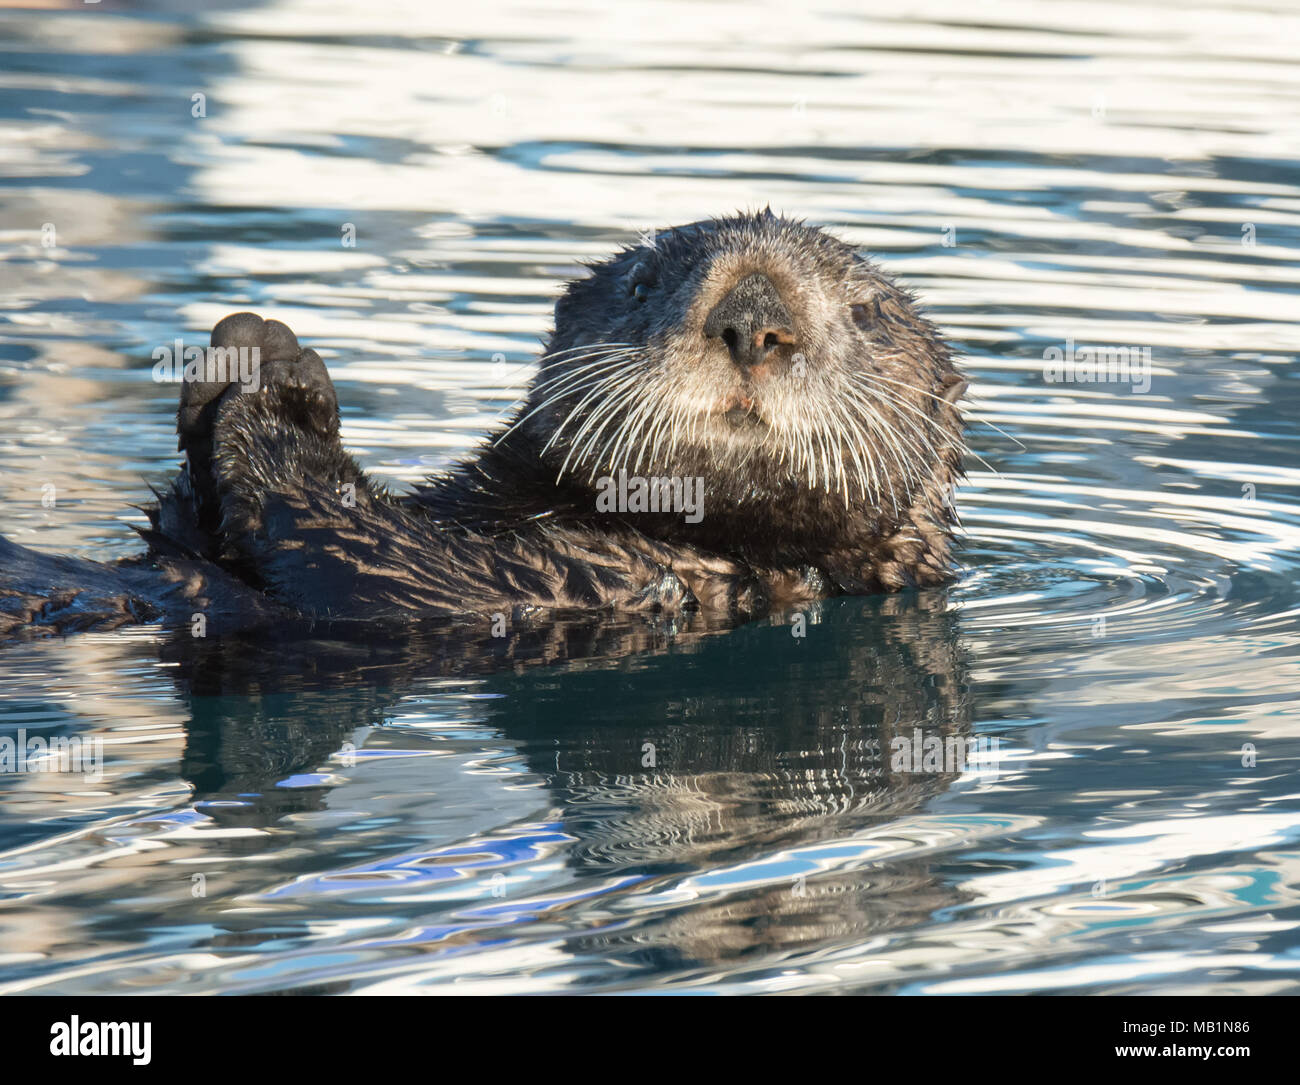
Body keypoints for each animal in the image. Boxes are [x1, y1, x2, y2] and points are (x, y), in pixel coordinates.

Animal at [0, 211, 966, 637]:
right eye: (644, 283)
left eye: (869, 311)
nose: (751, 322)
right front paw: (246, 356)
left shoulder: (560, 587)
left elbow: (346, 541)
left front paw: (279, 374)